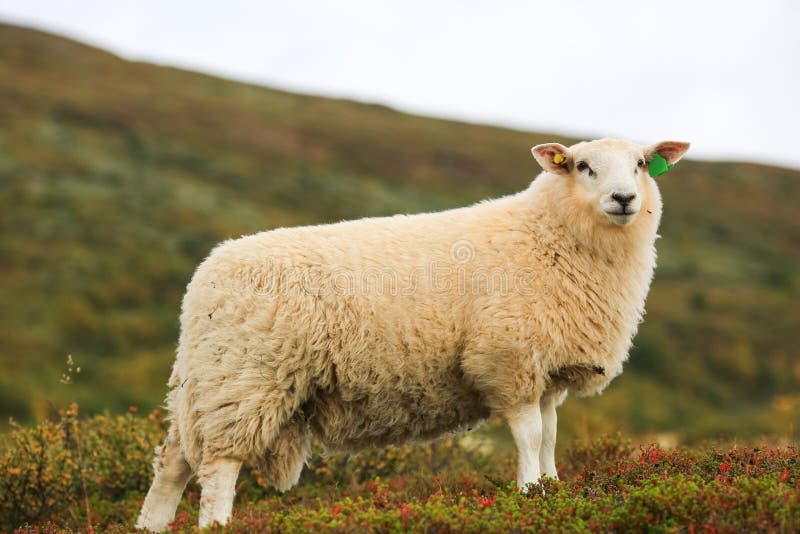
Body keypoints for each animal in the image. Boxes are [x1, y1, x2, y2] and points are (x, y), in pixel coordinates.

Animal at [136, 138, 690, 530]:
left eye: (642, 163)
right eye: (582, 166)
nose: (624, 198)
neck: (548, 234)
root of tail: (207, 272)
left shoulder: (546, 369)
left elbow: (551, 436)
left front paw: (554, 491)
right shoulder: (507, 358)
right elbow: (530, 436)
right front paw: (529, 495)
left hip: (205, 380)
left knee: (172, 463)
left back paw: (150, 526)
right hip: (243, 378)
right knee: (218, 468)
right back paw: (217, 525)